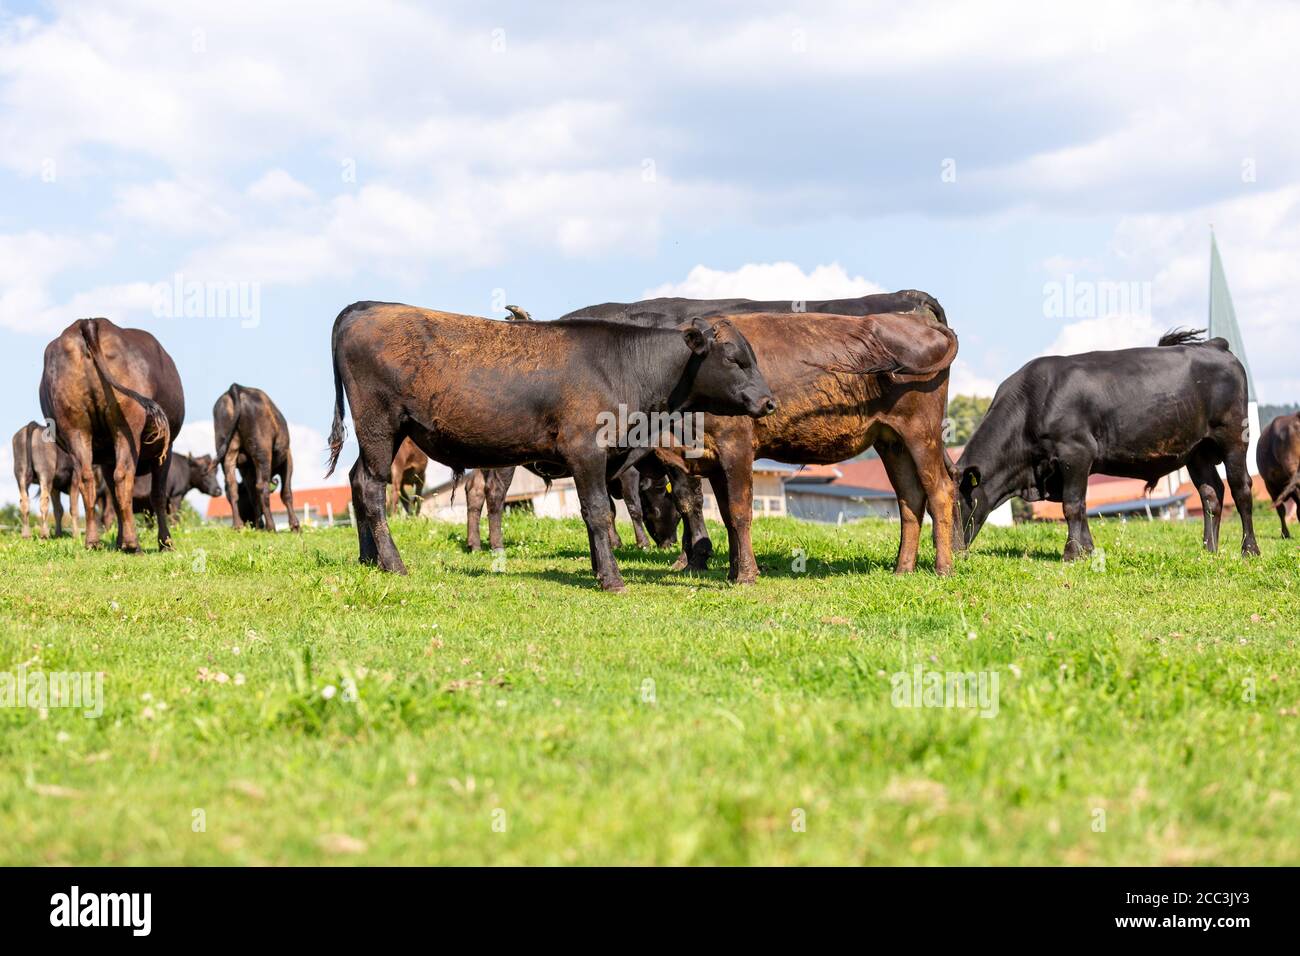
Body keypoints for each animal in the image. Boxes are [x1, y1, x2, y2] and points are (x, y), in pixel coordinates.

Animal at [39, 318, 183, 552]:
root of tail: (89, 321)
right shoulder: (165, 449)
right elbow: (157, 495)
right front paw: (165, 543)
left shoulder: (106, 458)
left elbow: (114, 500)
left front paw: (118, 542)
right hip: (126, 426)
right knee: (124, 476)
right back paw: (133, 544)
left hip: (75, 427)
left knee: (87, 477)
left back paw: (93, 542)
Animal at [214, 384, 299, 532]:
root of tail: (236, 387)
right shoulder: (288, 458)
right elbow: (286, 493)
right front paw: (295, 525)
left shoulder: (246, 469)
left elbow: (253, 496)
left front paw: (259, 526)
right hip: (262, 451)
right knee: (261, 486)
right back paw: (271, 527)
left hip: (227, 450)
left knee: (231, 486)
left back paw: (238, 525)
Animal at [325, 301, 775, 590]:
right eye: (733, 357)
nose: (769, 401)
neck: (624, 366)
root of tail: (365, 306)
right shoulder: (586, 450)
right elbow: (598, 512)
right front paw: (611, 578)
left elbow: (596, 515)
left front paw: (598, 567)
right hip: (380, 426)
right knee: (372, 489)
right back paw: (394, 563)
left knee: (357, 481)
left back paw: (369, 558)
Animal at [559, 291, 956, 578]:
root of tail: (918, 320)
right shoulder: (712, 460)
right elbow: (723, 512)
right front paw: (732, 570)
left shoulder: (736, 449)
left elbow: (738, 512)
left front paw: (744, 574)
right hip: (891, 441)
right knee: (909, 499)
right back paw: (902, 569)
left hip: (921, 434)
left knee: (940, 491)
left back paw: (943, 568)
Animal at [954, 329, 1259, 560]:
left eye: (954, 504)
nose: (951, 549)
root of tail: (1214, 345)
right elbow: (1081, 506)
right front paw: (1088, 550)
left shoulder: (1075, 453)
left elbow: (1072, 506)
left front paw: (1071, 554)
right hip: (1197, 451)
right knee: (1211, 493)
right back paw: (1209, 550)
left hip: (1233, 438)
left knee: (1241, 489)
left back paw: (1249, 550)